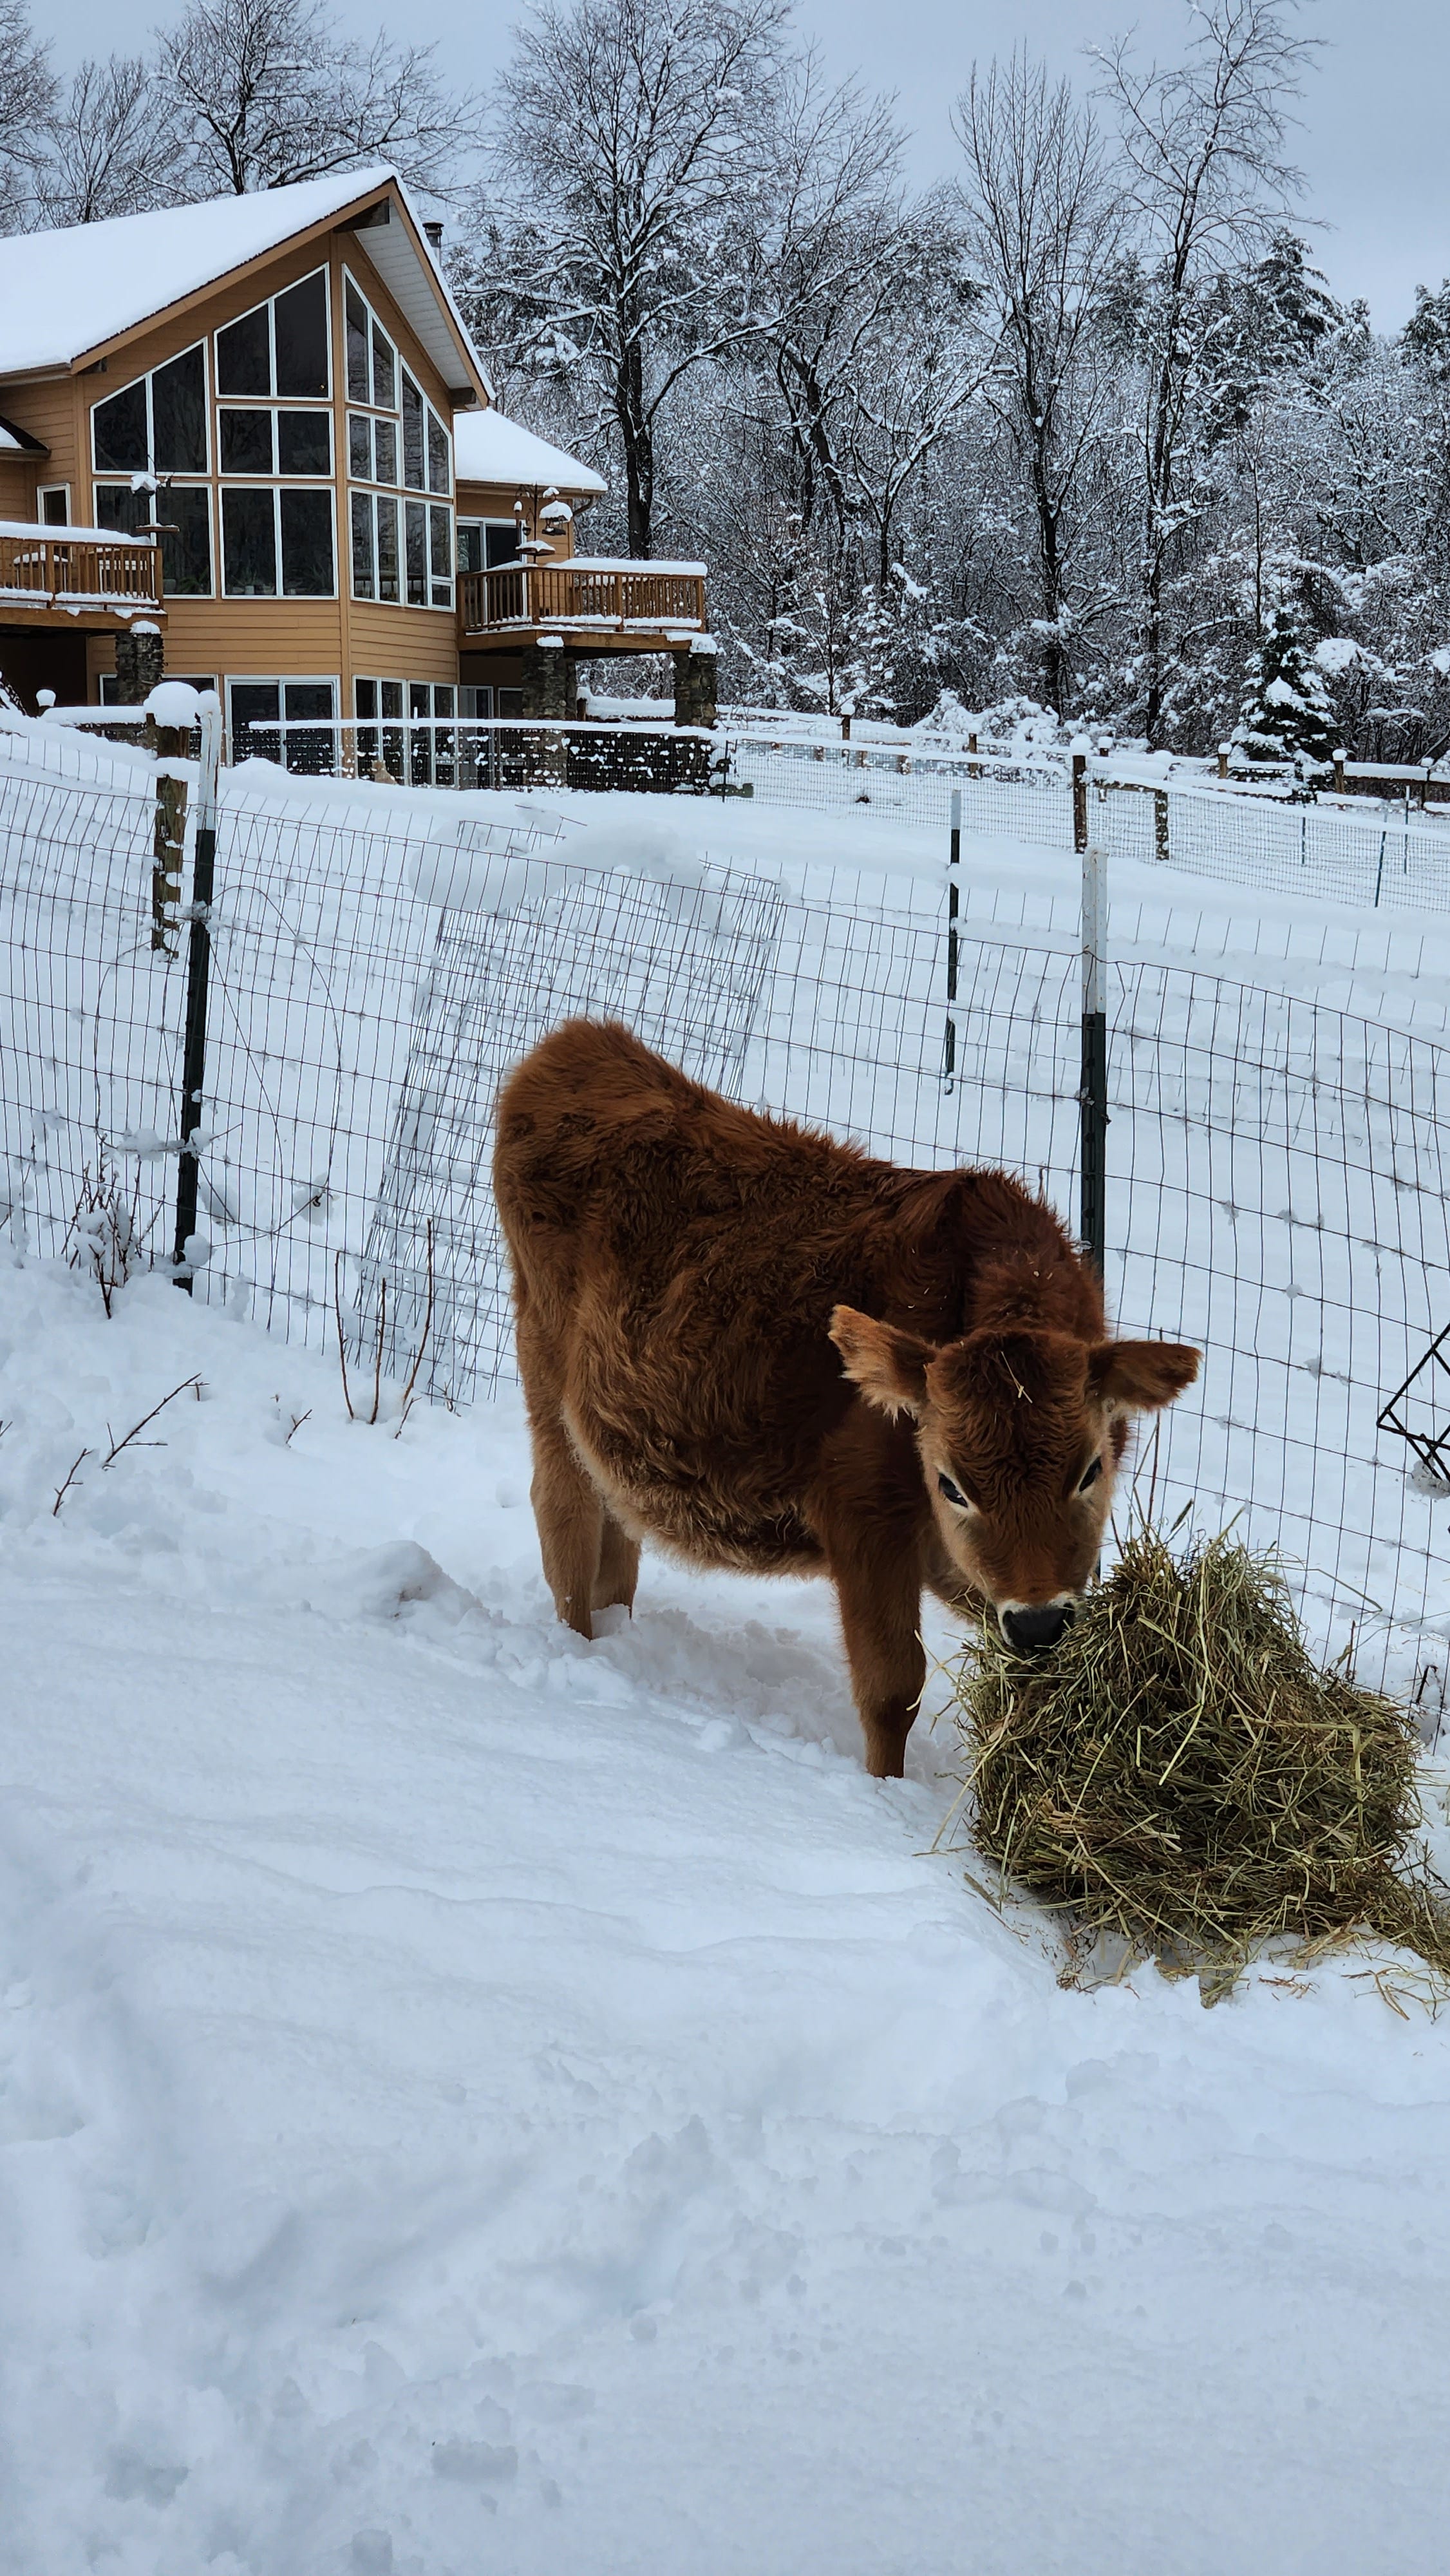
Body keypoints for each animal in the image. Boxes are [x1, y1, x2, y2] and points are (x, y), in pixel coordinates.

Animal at [493, 1020, 1199, 1777]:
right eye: (951, 1484)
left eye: (1091, 1470)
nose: (1040, 1622)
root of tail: (582, 1042)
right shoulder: (861, 1515)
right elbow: (891, 1690)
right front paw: (882, 1793)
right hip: (545, 1374)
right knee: (564, 1518)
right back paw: (576, 1649)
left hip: (614, 1429)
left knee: (616, 1540)